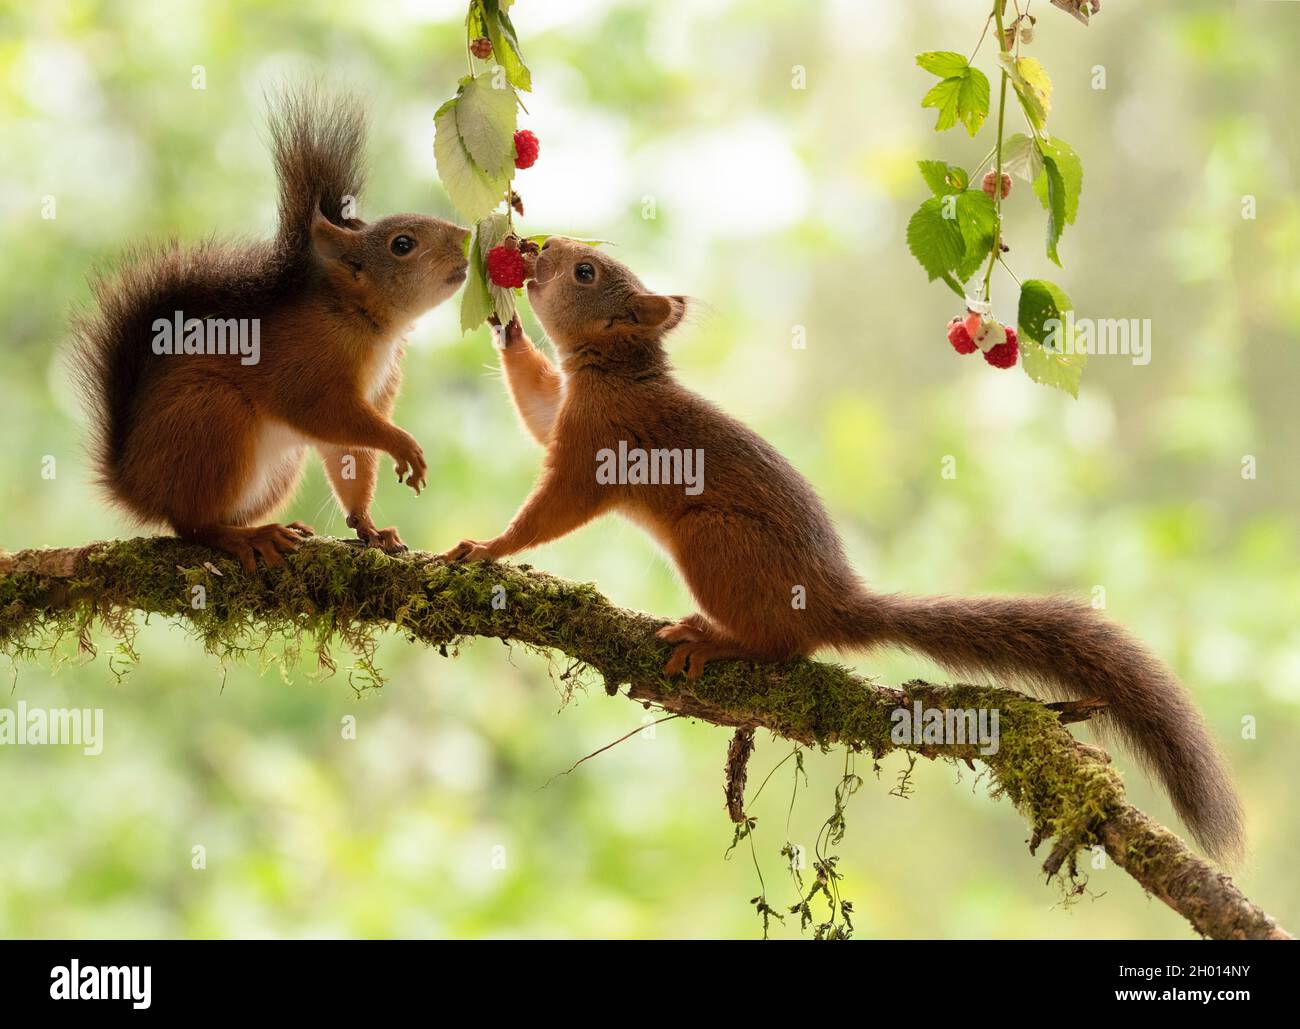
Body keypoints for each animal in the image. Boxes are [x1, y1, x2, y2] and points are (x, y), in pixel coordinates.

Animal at [70, 89, 470, 571]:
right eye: (403, 245)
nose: (466, 236)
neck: (364, 322)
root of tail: (136, 486)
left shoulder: (380, 389)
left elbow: (349, 457)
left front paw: (370, 527)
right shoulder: (307, 368)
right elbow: (326, 414)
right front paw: (403, 445)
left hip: (278, 467)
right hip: (212, 416)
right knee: (193, 525)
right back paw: (245, 537)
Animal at [438, 237, 1246, 864]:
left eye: (585, 273)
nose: (537, 248)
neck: (614, 369)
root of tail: (834, 601)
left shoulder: (597, 448)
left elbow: (551, 508)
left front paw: (489, 546)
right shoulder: (565, 413)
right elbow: (537, 408)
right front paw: (504, 325)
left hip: (713, 542)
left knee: (783, 646)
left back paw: (714, 639)